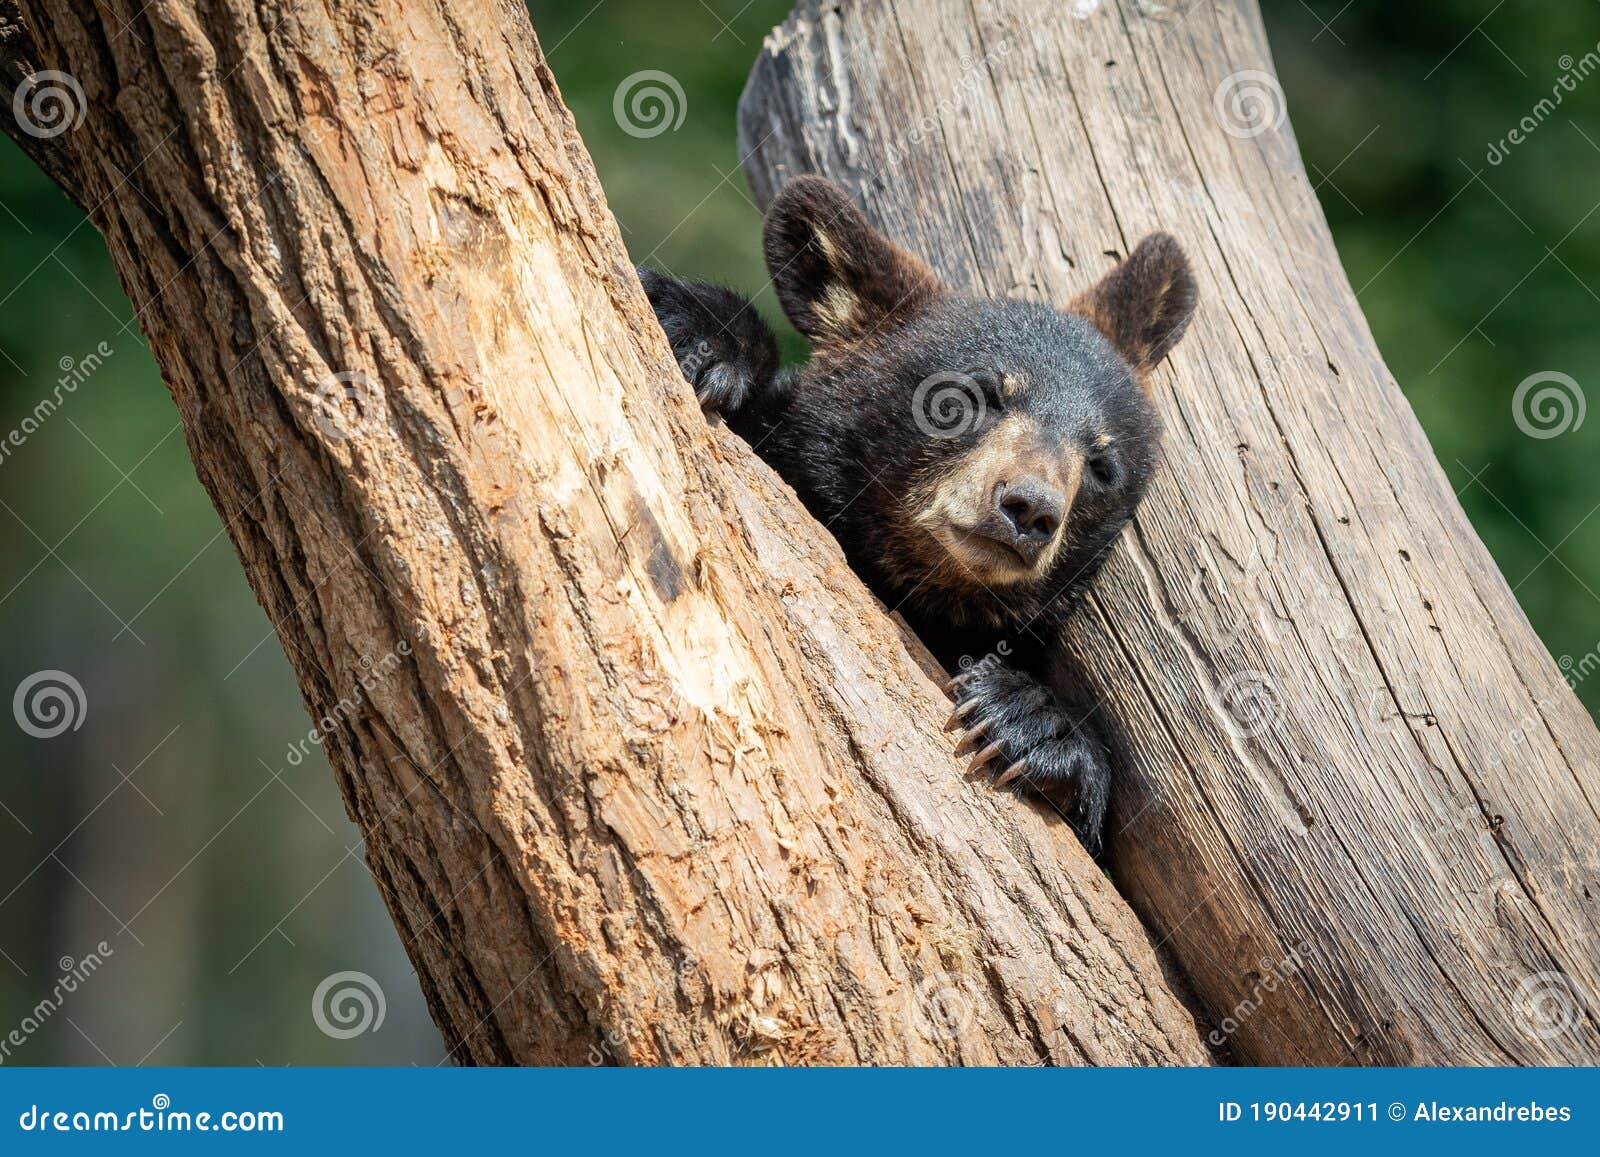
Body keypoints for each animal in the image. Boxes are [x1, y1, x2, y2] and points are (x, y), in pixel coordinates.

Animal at [639, 175, 1196, 852]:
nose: (1029, 508)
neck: (919, 585)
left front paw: (1032, 720)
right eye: (968, 397)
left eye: (1101, 465)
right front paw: (702, 336)